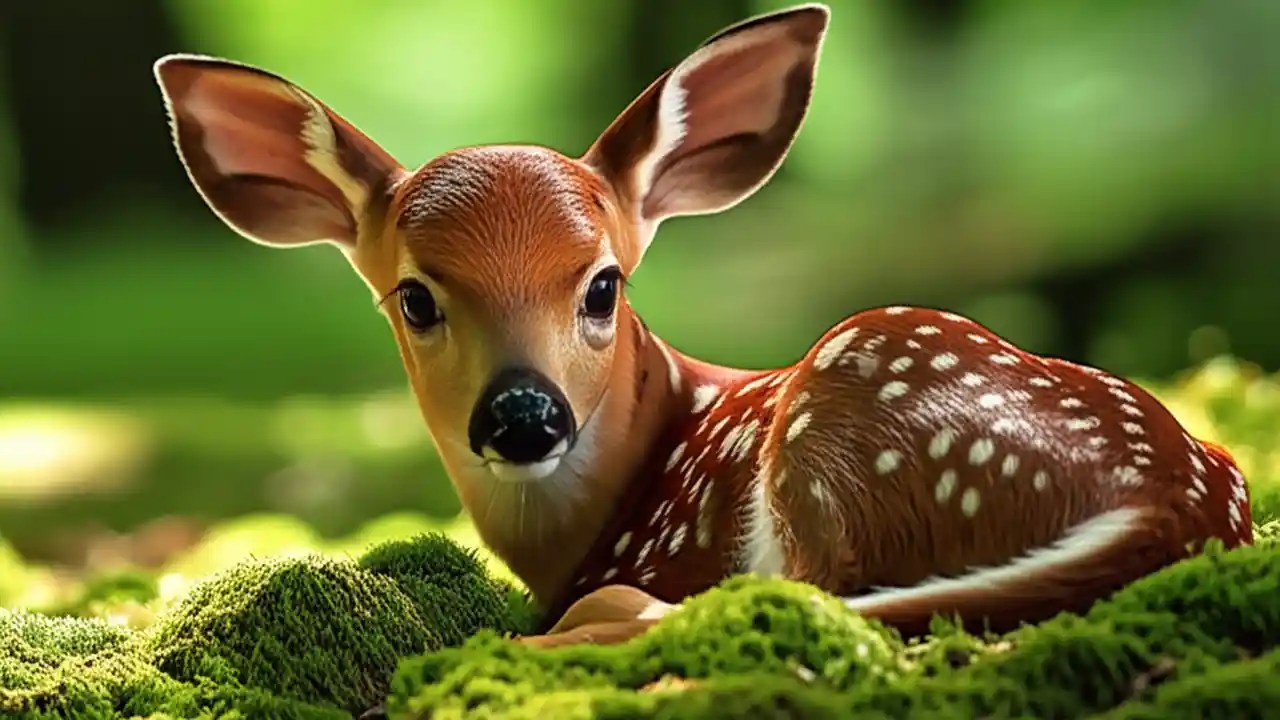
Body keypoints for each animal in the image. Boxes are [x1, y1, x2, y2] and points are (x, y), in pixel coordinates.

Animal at [152, 3, 1253, 649]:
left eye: (603, 284)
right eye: (414, 296)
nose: (523, 416)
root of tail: (1178, 500)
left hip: (842, 419)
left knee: (801, 593)